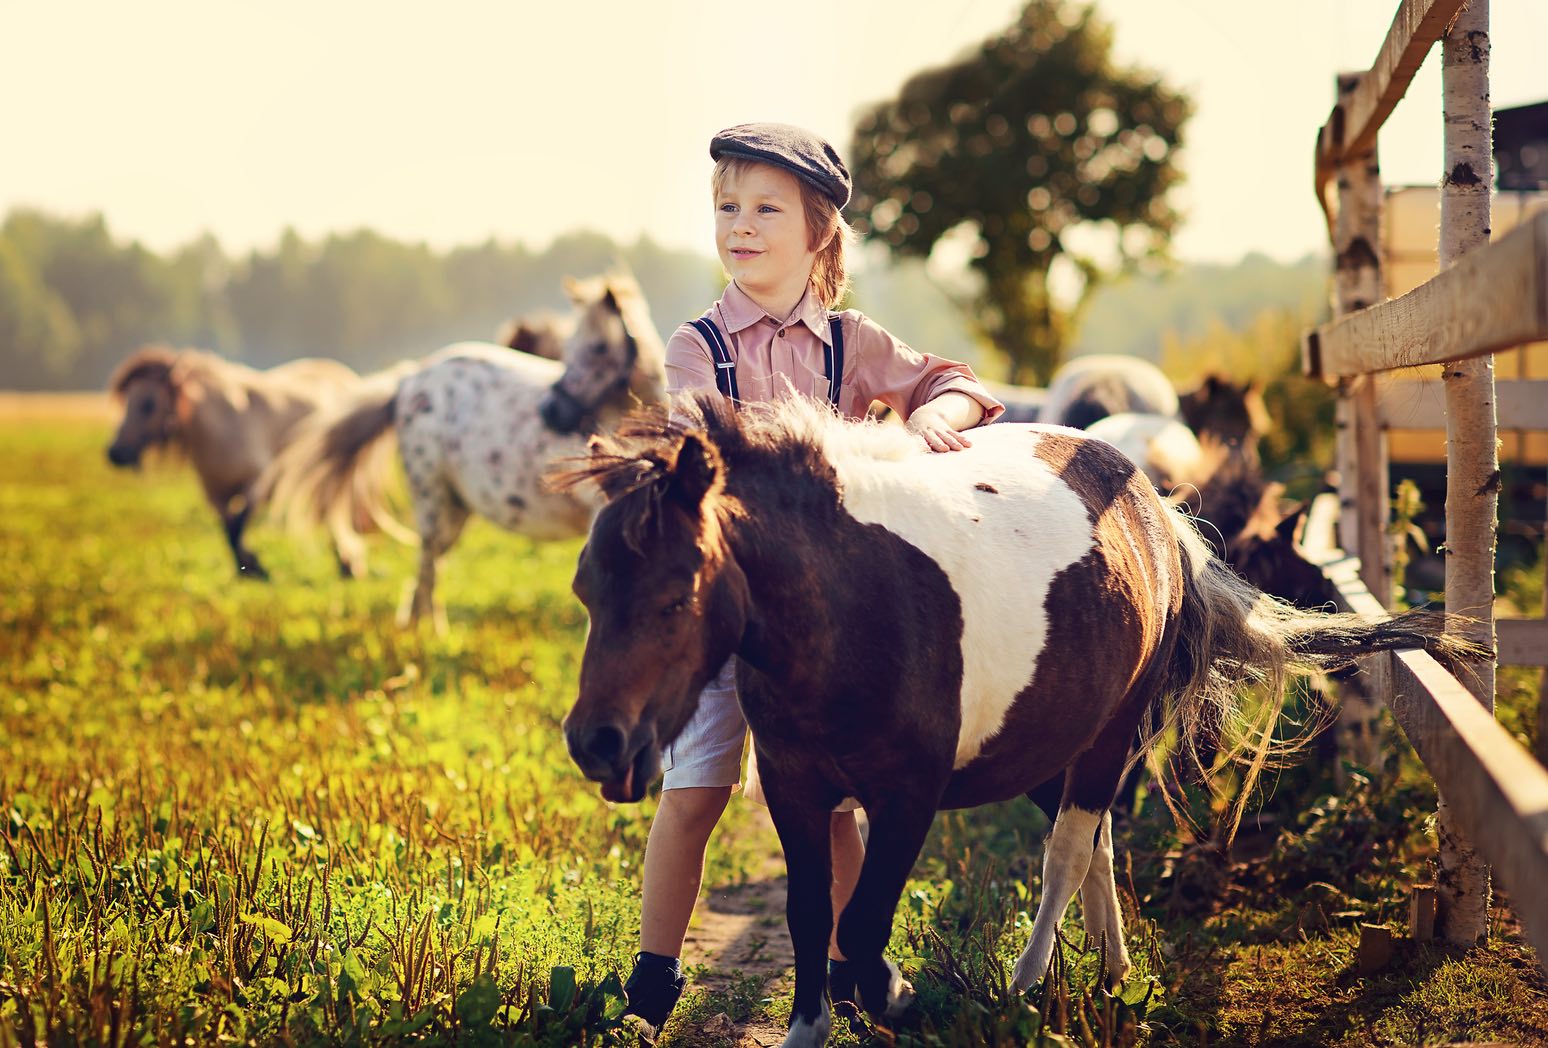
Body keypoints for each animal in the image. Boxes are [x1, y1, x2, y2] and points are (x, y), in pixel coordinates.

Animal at [106, 346, 364, 580]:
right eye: (127, 401)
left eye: (148, 404)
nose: (115, 453)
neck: (220, 428)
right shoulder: (215, 494)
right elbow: (228, 529)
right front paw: (248, 566)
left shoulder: (257, 483)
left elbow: (236, 527)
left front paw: (256, 567)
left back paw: (350, 564)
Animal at [262, 274, 664, 627]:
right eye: (567, 348)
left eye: (599, 347)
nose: (552, 412)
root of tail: (410, 379)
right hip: (431, 501)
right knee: (427, 567)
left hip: (455, 508)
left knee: (430, 570)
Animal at [554, 394, 1476, 1047]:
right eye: (585, 591)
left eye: (677, 598)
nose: (598, 743)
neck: (852, 603)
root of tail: (1154, 509)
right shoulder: (795, 787)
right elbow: (814, 917)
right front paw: (813, 1027)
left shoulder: (908, 797)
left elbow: (862, 926)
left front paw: (898, 995)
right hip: (1047, 749)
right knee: (1096, 842)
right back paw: (1112, 976)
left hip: (1105, 741)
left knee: (1068, 851)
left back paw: (1029, 989)